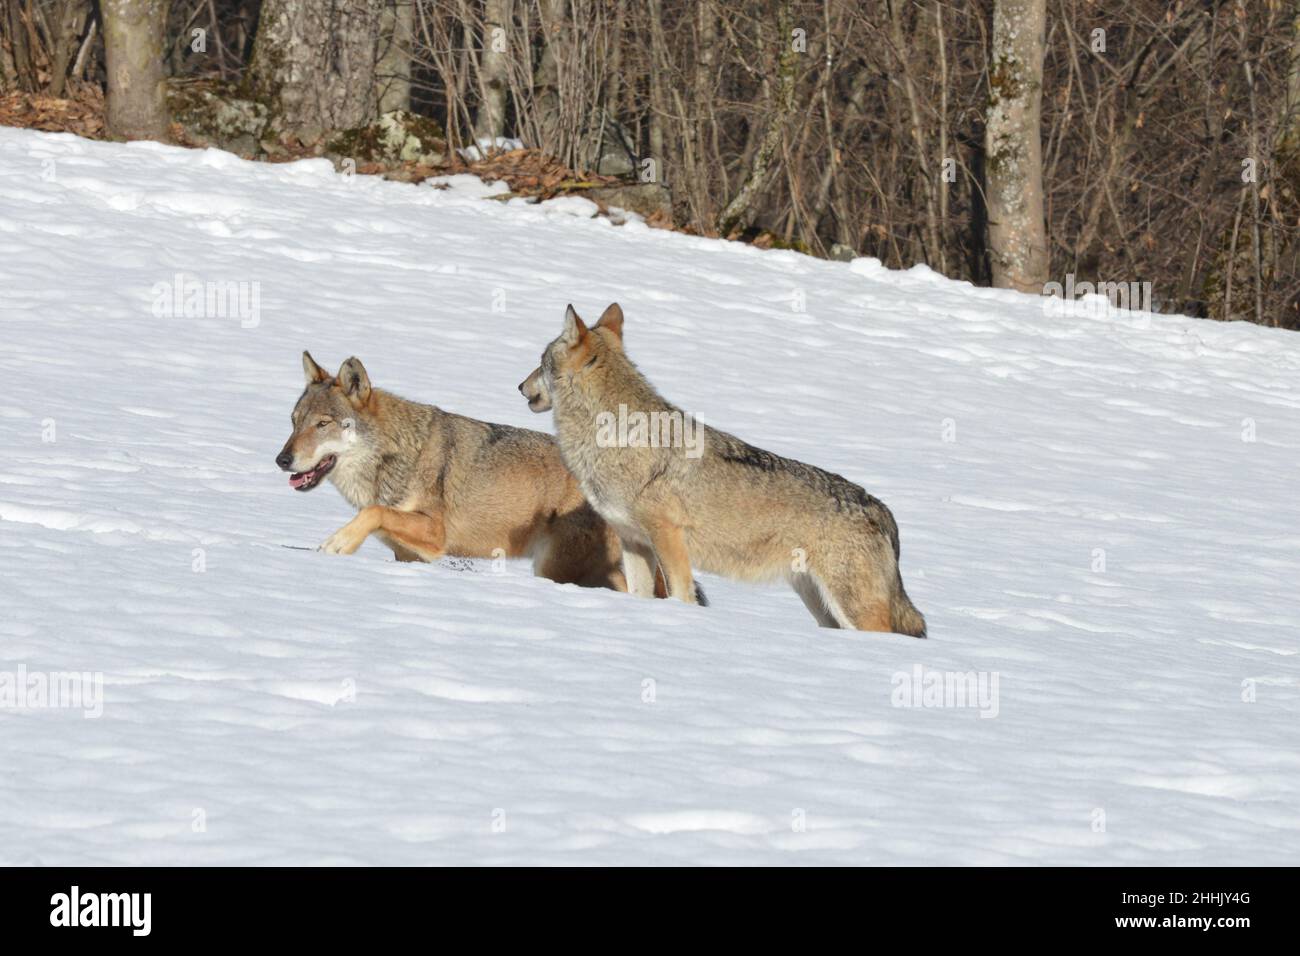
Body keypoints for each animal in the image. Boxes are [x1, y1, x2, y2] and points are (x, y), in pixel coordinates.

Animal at [276, 351, 631, 590]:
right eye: (294, 422)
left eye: (322, 424)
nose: (282, 459)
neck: (395, 453)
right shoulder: (409, 556)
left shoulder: (436, 535)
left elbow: (373, 512)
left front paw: (338, 544)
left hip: (557, 569)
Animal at [518, 304, 926, 637]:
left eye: (540, 359)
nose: (520, 386)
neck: (614, 435)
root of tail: (881, 510)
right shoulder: (634, 542)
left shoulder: (668, 539)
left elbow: (682, 595)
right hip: (818, 601)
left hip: (851, 606)